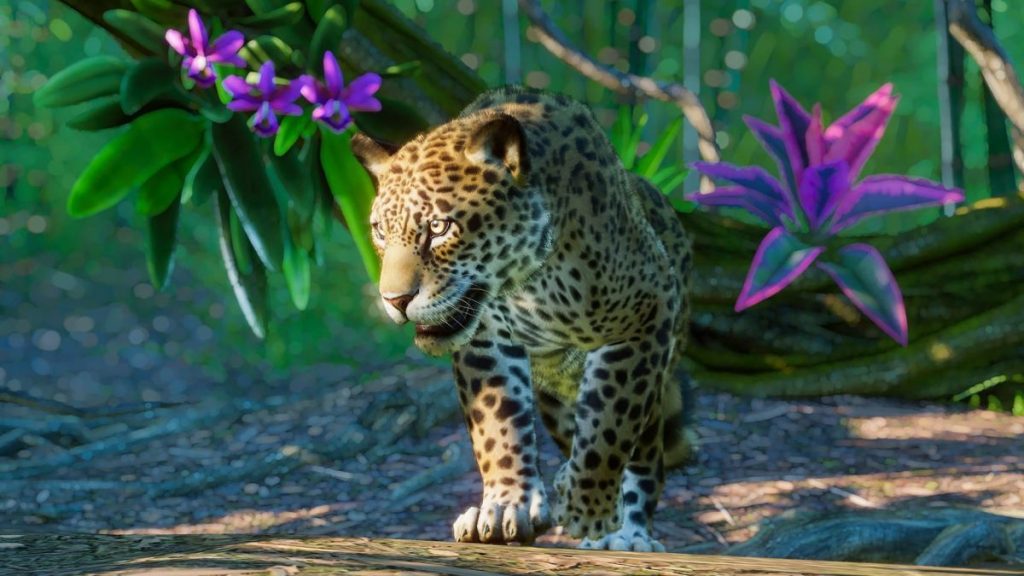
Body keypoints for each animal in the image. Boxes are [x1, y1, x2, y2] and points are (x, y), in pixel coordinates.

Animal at [352, 86, 694, 552]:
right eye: (380, 232)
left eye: (439, 228)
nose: (395, 299)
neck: (527, 285)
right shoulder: (485, 342)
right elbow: (497, 427)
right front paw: (504, 508)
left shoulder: (646, 313)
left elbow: (609, 422)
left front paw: (588, 507)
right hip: (556, 403)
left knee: (646, 456)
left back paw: (626, 532)